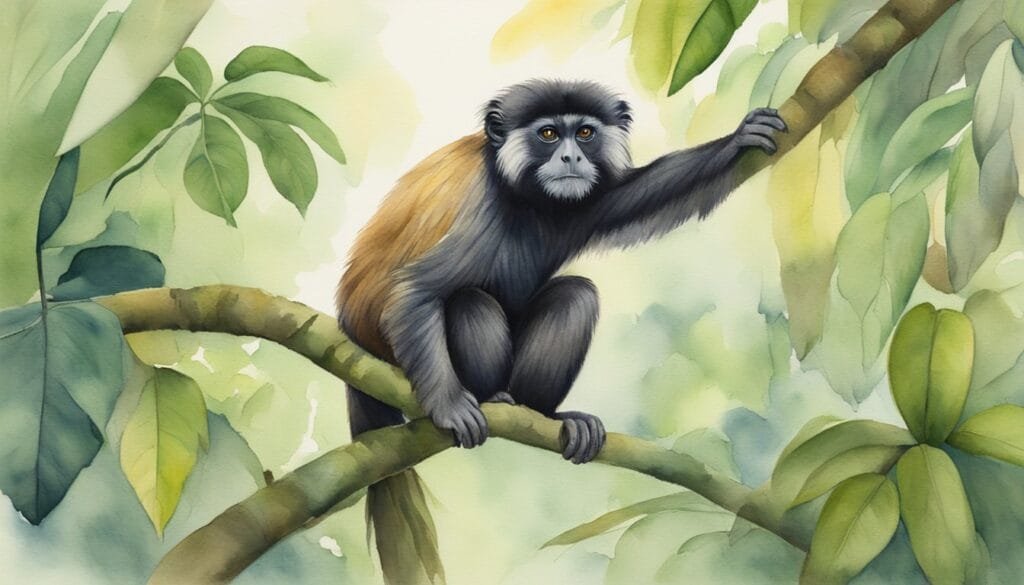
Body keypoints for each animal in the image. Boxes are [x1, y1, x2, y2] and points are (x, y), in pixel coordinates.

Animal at [336, 79, 784, 580]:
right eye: (549, 134)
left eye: (584, 133)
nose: (571, 157)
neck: (524, 192)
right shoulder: (481, 204)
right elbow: (416, 290)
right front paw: (450, 407)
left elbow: (630, 198)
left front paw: (739, 140)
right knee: (469, 301)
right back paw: (492, 397)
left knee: (576, 295)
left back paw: (546, 414)